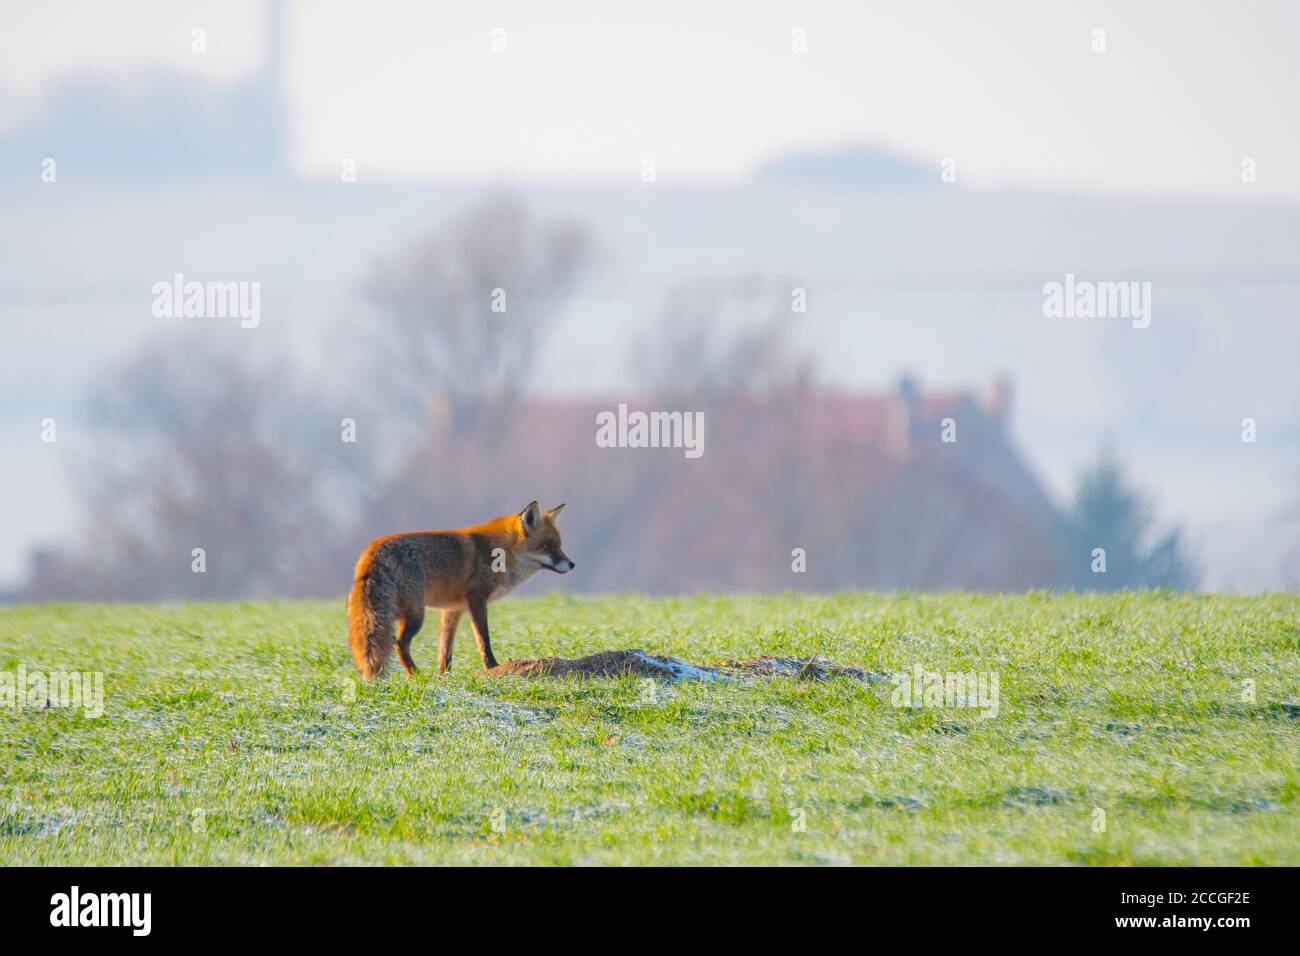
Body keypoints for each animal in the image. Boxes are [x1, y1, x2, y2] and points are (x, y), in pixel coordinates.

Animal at [347, 501, 574, 679]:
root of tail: (373, 548)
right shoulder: (476, 598)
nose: (572, 565)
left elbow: (445, 650)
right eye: (548, 545)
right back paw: (416, 676)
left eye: (559, 545)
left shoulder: (452, 609)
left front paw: (445, 677)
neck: (500, 553)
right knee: (399, 643)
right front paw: (492, 668)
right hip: (415, 614)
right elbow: (483, 639)